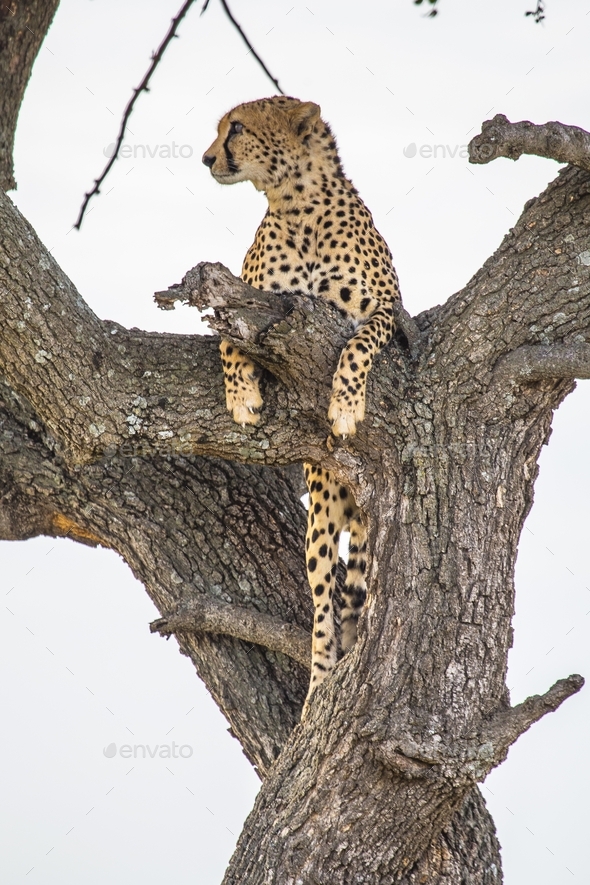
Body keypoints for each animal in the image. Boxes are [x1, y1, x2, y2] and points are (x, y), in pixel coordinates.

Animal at [203, 97, 401, 714]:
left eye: (237, 127)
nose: (207, 157)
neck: (296, 206)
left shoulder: (383, 309)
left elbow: (360, 345)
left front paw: (345, 407)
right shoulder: (249, 301)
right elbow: (229, 339)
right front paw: (242, 397)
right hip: (318, 519)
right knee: (321, 604)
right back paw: (319, 681)